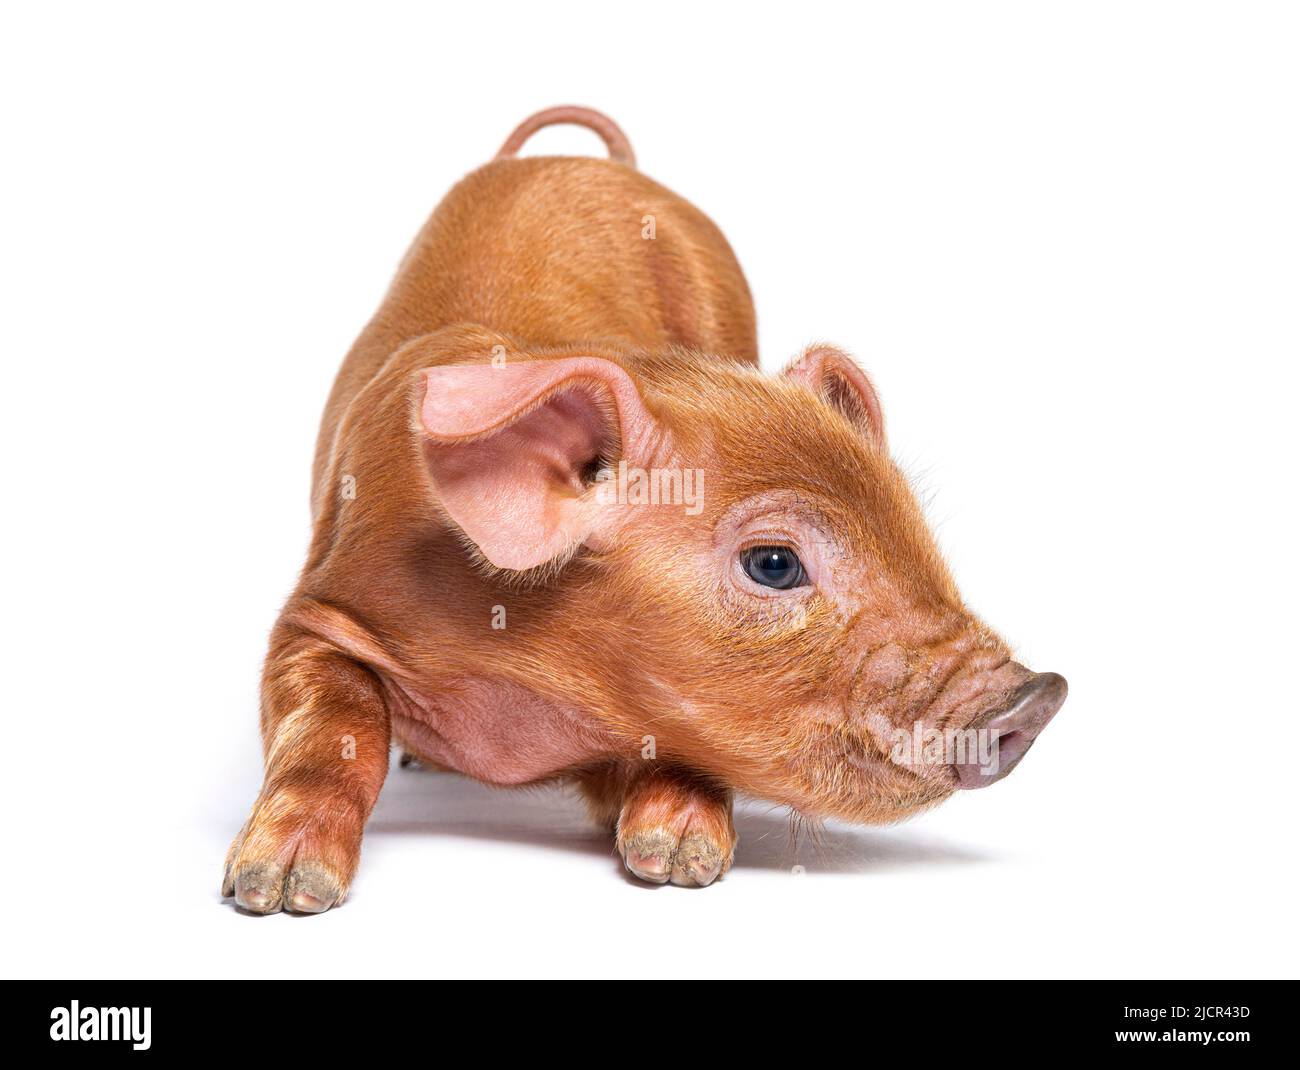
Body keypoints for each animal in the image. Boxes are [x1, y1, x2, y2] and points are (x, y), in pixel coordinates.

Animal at [223, 105, 1067, 913]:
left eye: (913, 530)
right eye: (774, 563)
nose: (1037, 695)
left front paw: (681, 862)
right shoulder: (322, 608)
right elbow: (336, 724)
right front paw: (279, 891)